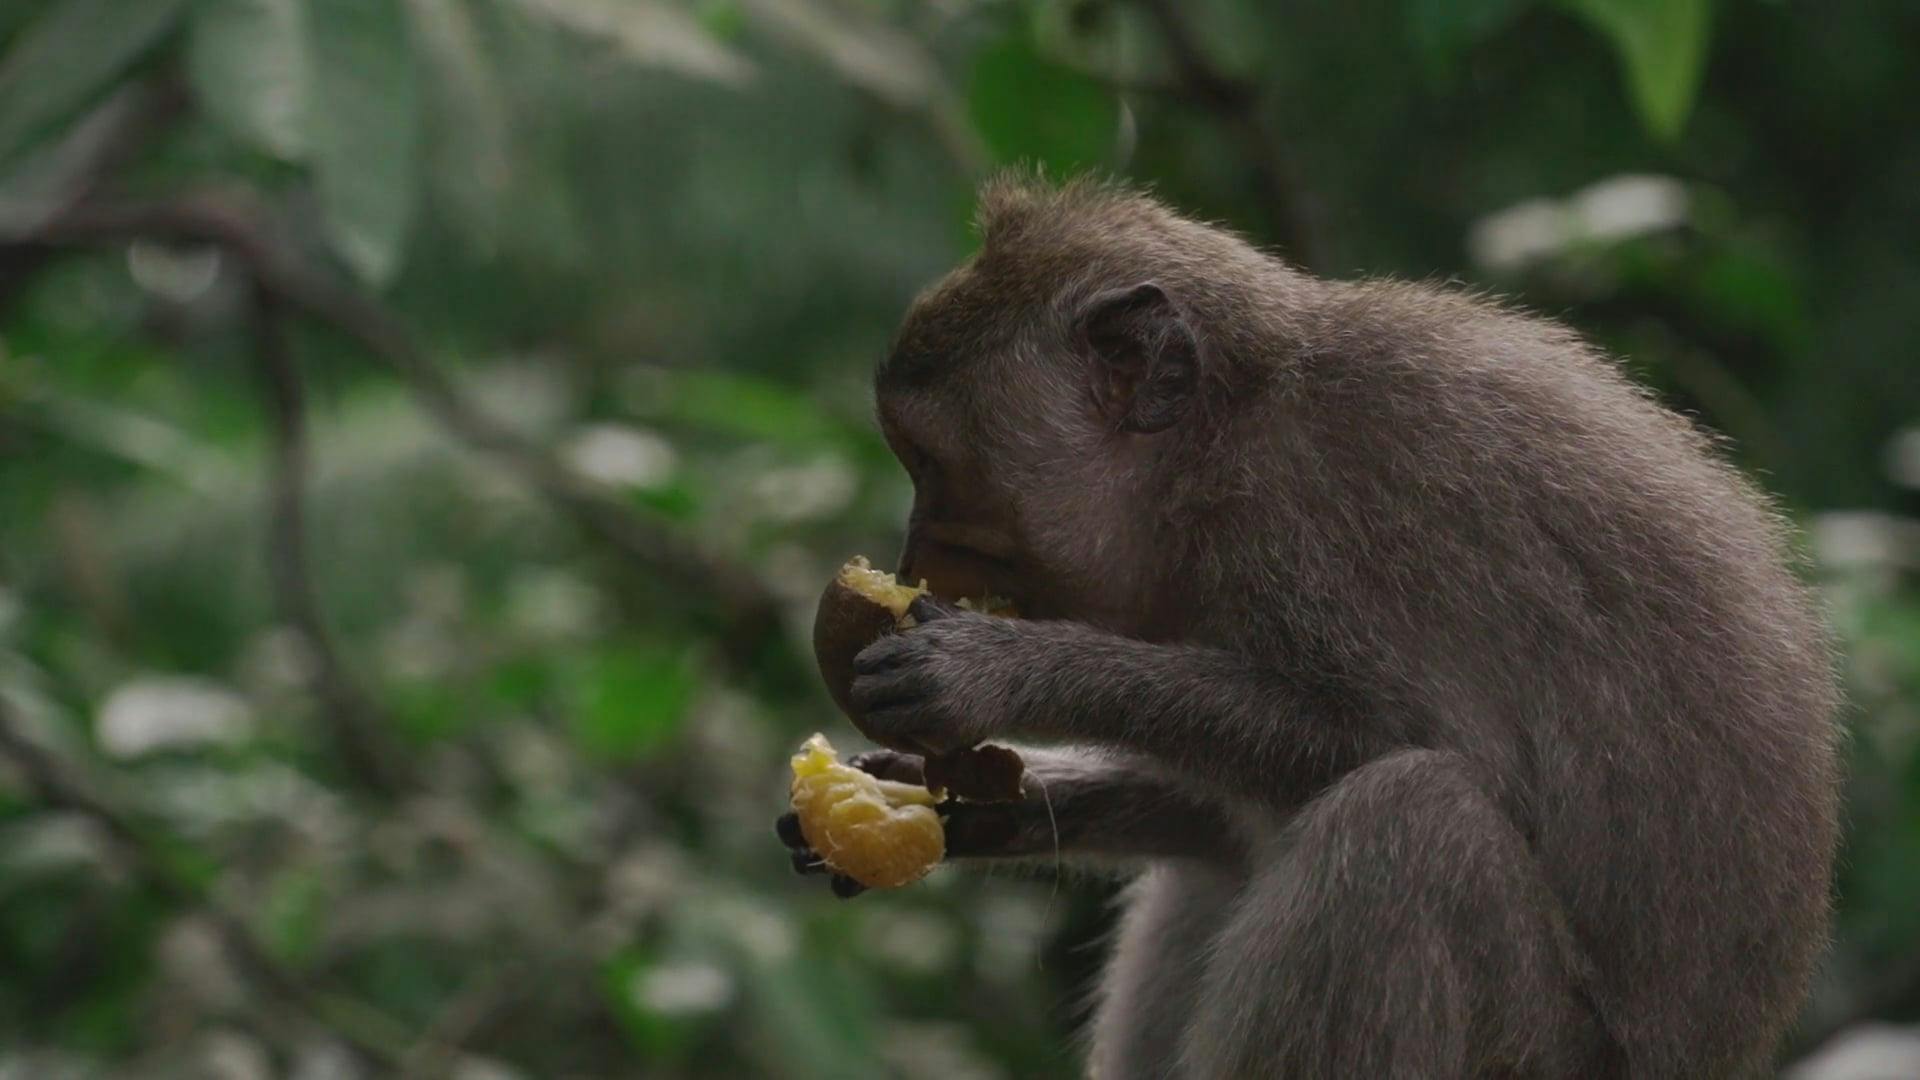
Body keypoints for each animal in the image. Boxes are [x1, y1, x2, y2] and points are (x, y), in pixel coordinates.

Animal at [776, 176, 1841, 1079]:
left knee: (1413, 822)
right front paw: (974, 800)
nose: (911, 556)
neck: (1225, 441)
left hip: (1539, 1054)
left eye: (927, 464)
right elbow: (1218, 817)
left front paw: (1004, 670)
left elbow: (1423, 749)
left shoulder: (1333, 527)